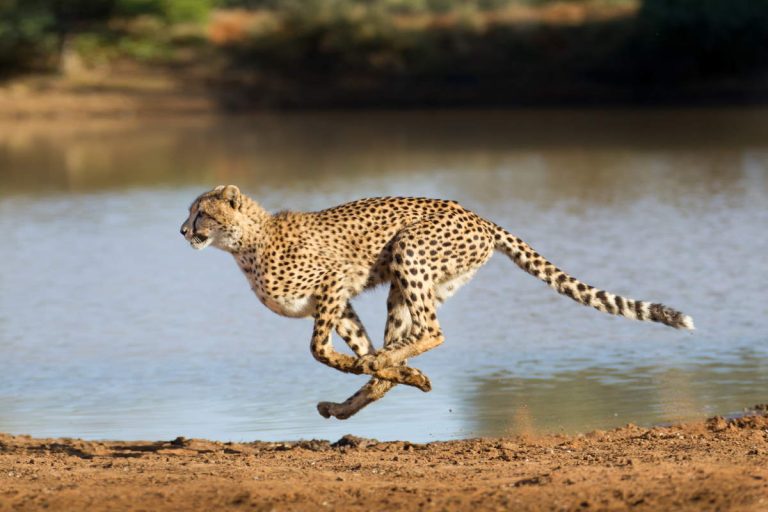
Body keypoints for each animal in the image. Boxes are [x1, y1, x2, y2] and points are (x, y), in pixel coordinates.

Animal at [180, 185, 694, 420]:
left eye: (202, 212)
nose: (183, 230)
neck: (245, 244)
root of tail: (477, 215)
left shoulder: (334, 282)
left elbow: (319, 349)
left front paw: (365, 365)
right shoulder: (339, 300)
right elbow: (357, 348)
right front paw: (388, 372)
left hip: (409, 250)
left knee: (433, 331)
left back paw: (385, 368)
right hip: (411, 284)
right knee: (412, 337)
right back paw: (369, 391)